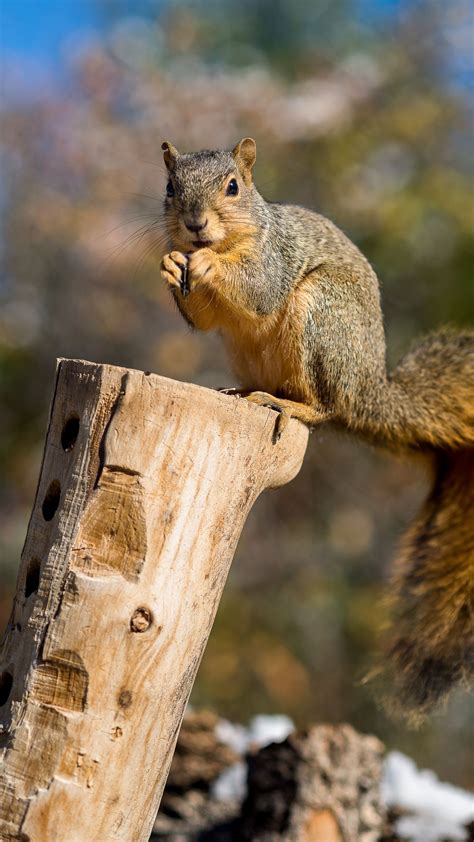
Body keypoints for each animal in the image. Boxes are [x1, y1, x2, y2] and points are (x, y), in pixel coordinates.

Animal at [159, 137, 474, 718]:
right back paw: (243, 393)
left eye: (233, 186)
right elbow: (205, 316)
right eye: (170, 187)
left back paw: (288, 406)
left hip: (322, 314)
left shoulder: (274, 263)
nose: (194, 226)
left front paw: (208, 261)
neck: (242, 233)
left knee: (328, 409)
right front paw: (172, 264)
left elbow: (255, 287)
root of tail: (370, 390)